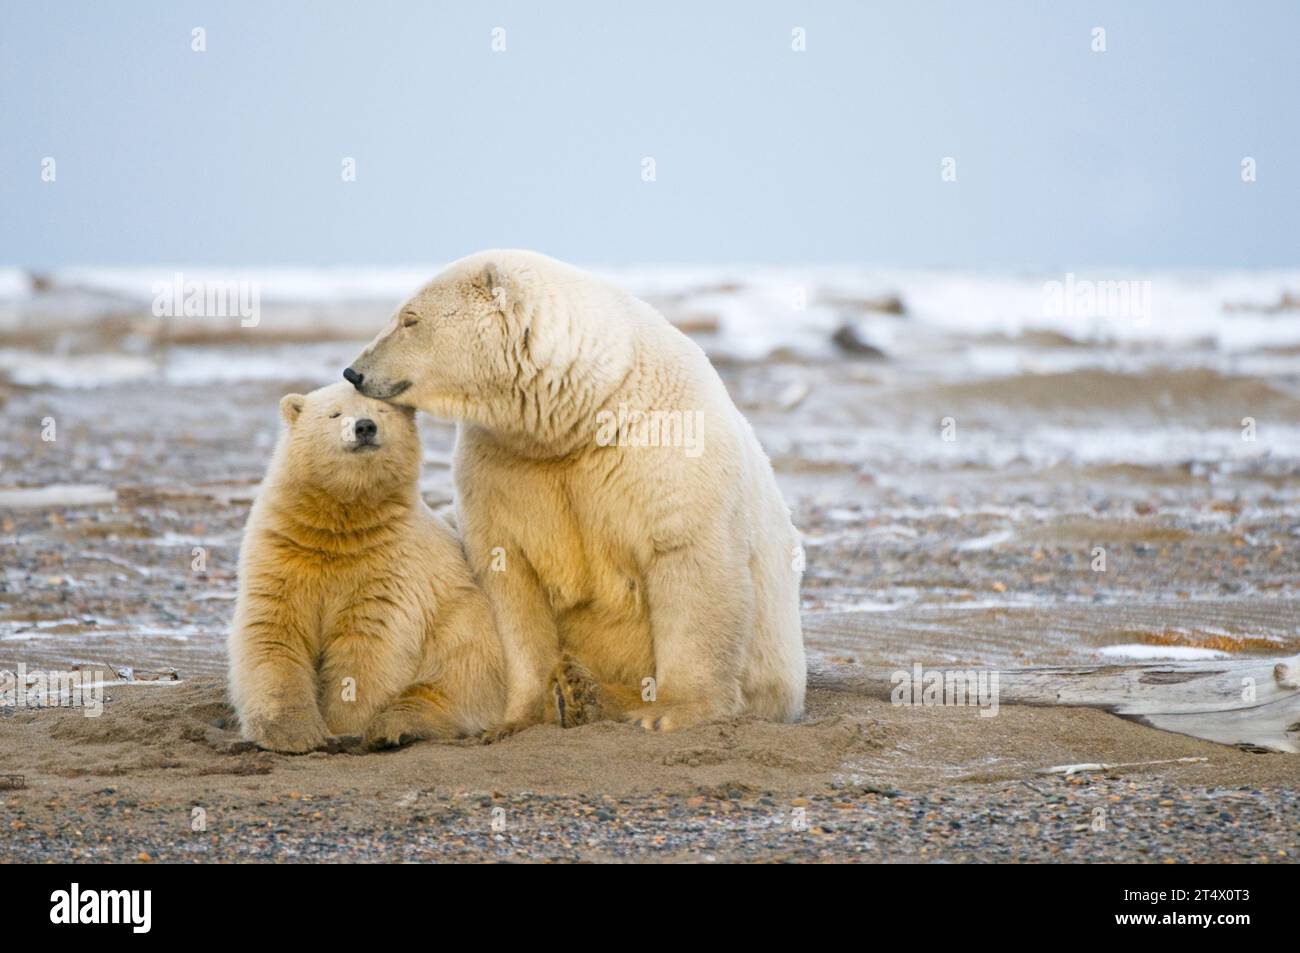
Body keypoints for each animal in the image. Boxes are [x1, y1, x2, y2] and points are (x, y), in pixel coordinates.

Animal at [227, 381, 505, 752]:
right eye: (335, 413)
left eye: (381, 410)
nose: (364, 427)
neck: (341, 529)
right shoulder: (285, 551)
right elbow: (274, 630)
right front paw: (292, 733)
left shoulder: (389, 568)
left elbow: (367, 644)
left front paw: (344, 728)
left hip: (470, 628)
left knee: (452, 680)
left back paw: (396, 727)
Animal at [344, 250, 806, 736]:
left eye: (409, 319)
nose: (353, 371)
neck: (583, 412)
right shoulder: (504, 465)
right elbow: (509, 578)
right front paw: (516, 719)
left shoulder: (665, 448)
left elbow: (690, 564)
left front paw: (674, 711)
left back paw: (592, 693)